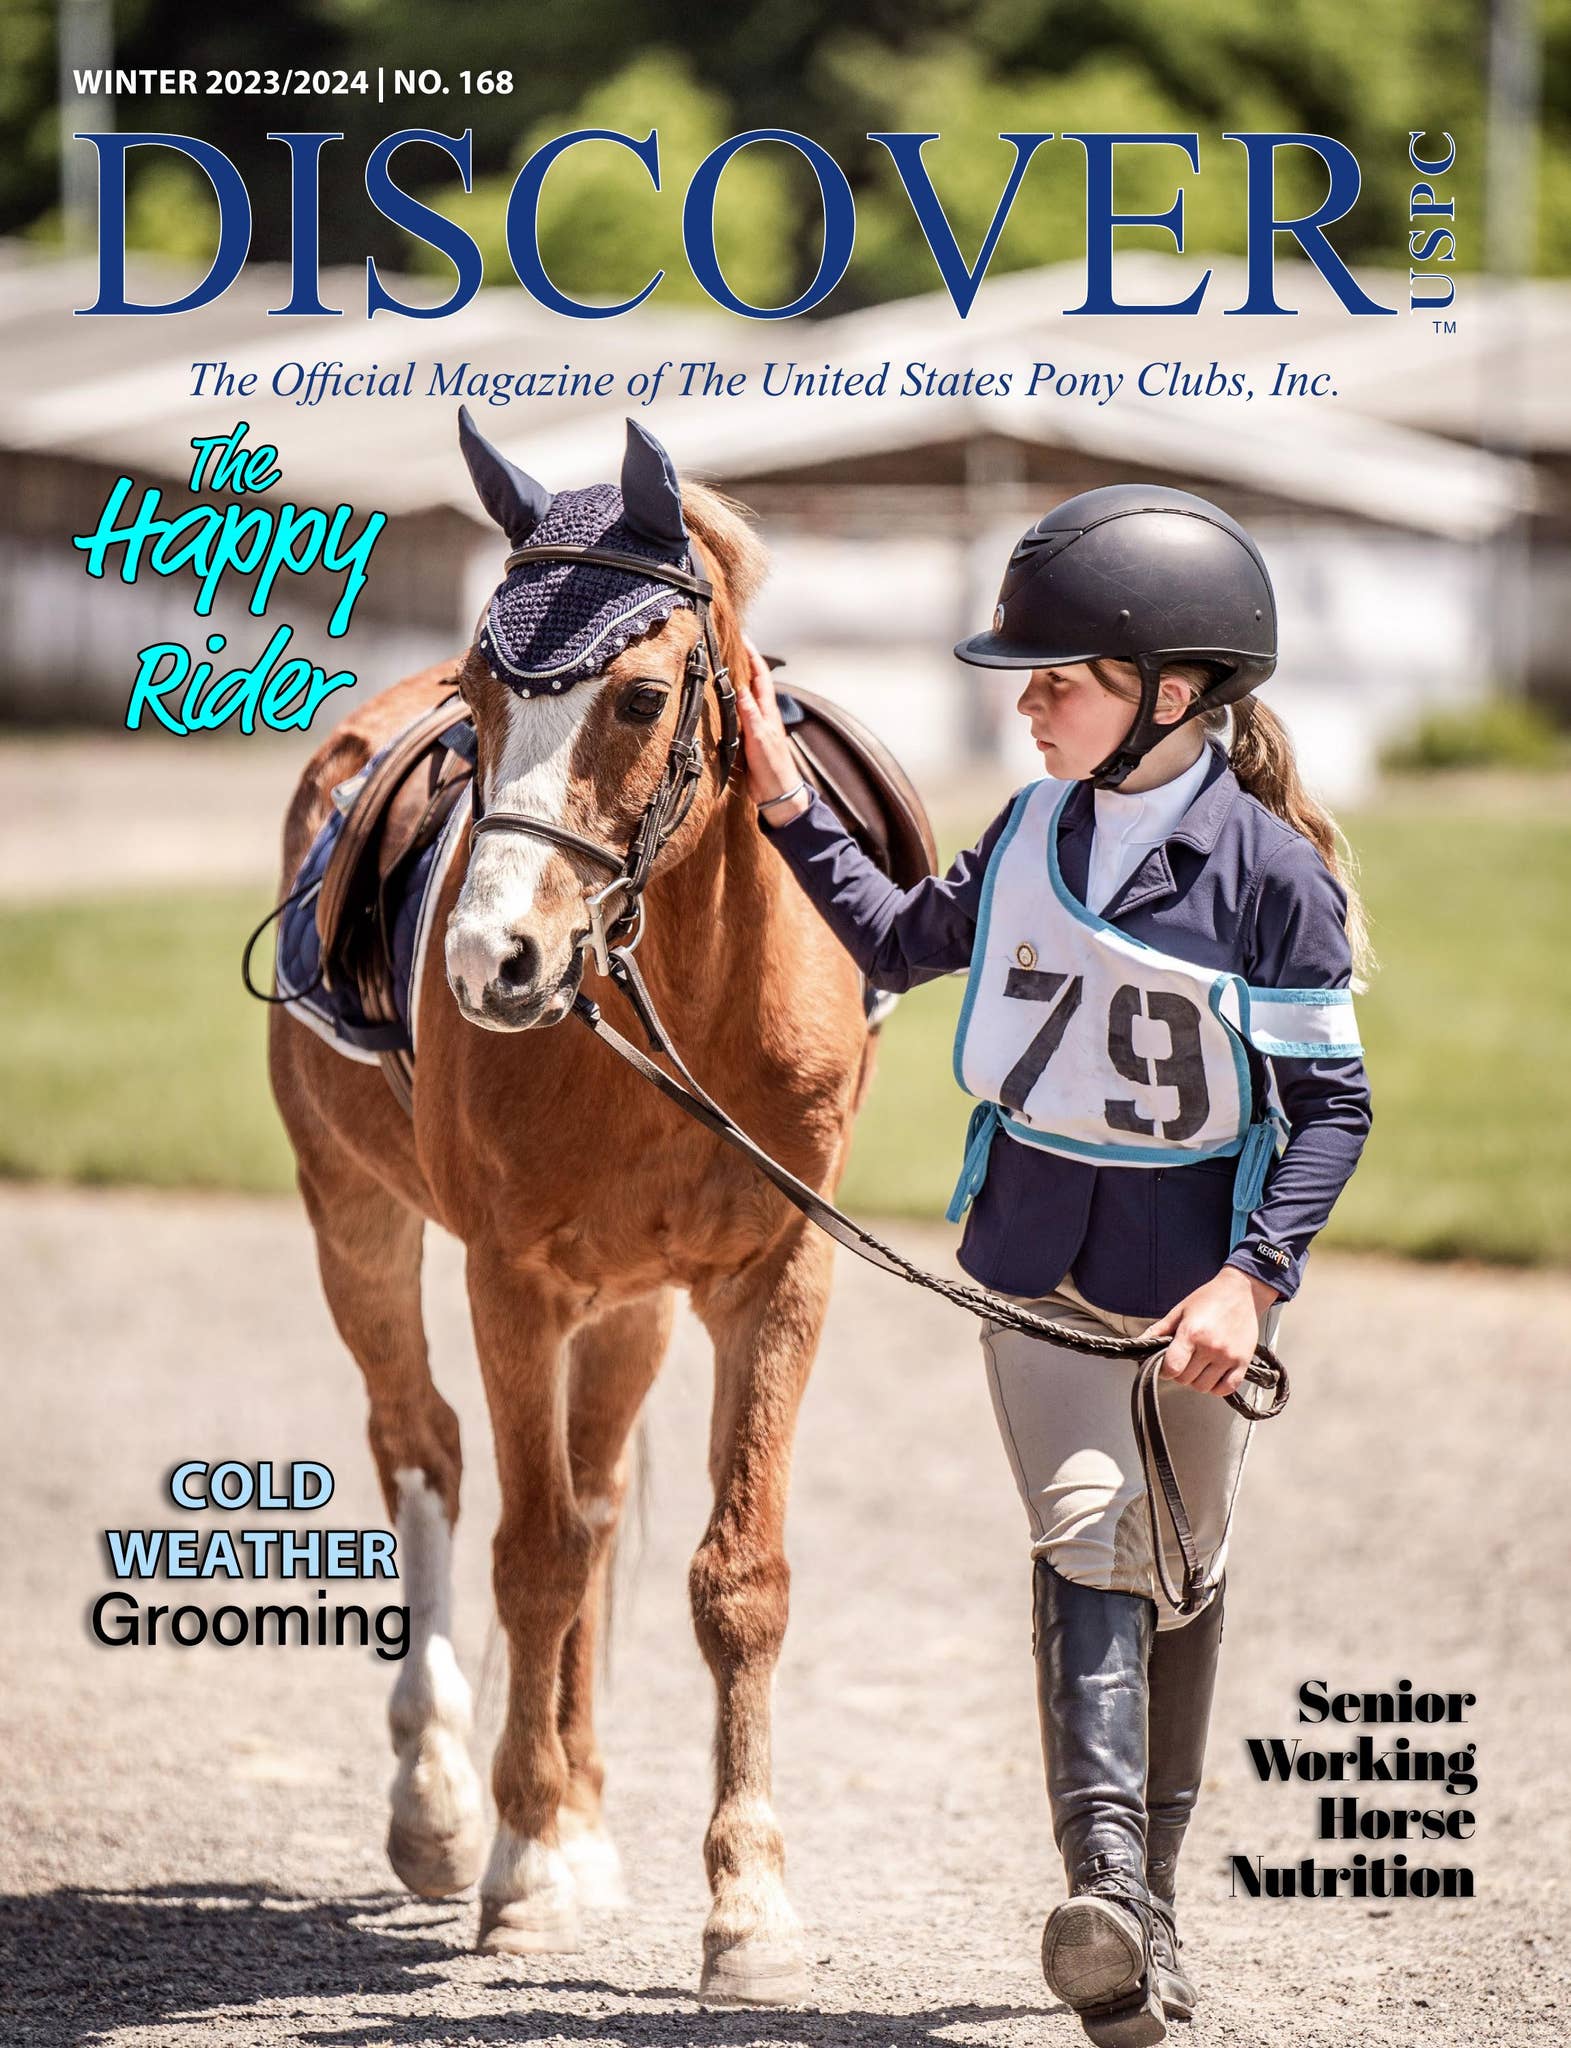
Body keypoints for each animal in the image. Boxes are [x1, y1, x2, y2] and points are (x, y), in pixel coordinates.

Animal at [267, 412, 879, 2003]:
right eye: (484, 698)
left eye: (642, 696)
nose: (493, 958)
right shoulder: (512, 1282)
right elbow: (530, 1558)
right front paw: (523, 1867)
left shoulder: (771, 1281)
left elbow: (734, 1576)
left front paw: (745, 1902)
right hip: (353, 1218)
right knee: (422, 1452)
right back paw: (439, 1801)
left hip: (628, 1312)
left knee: (595, 1505)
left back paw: (580, 1817)